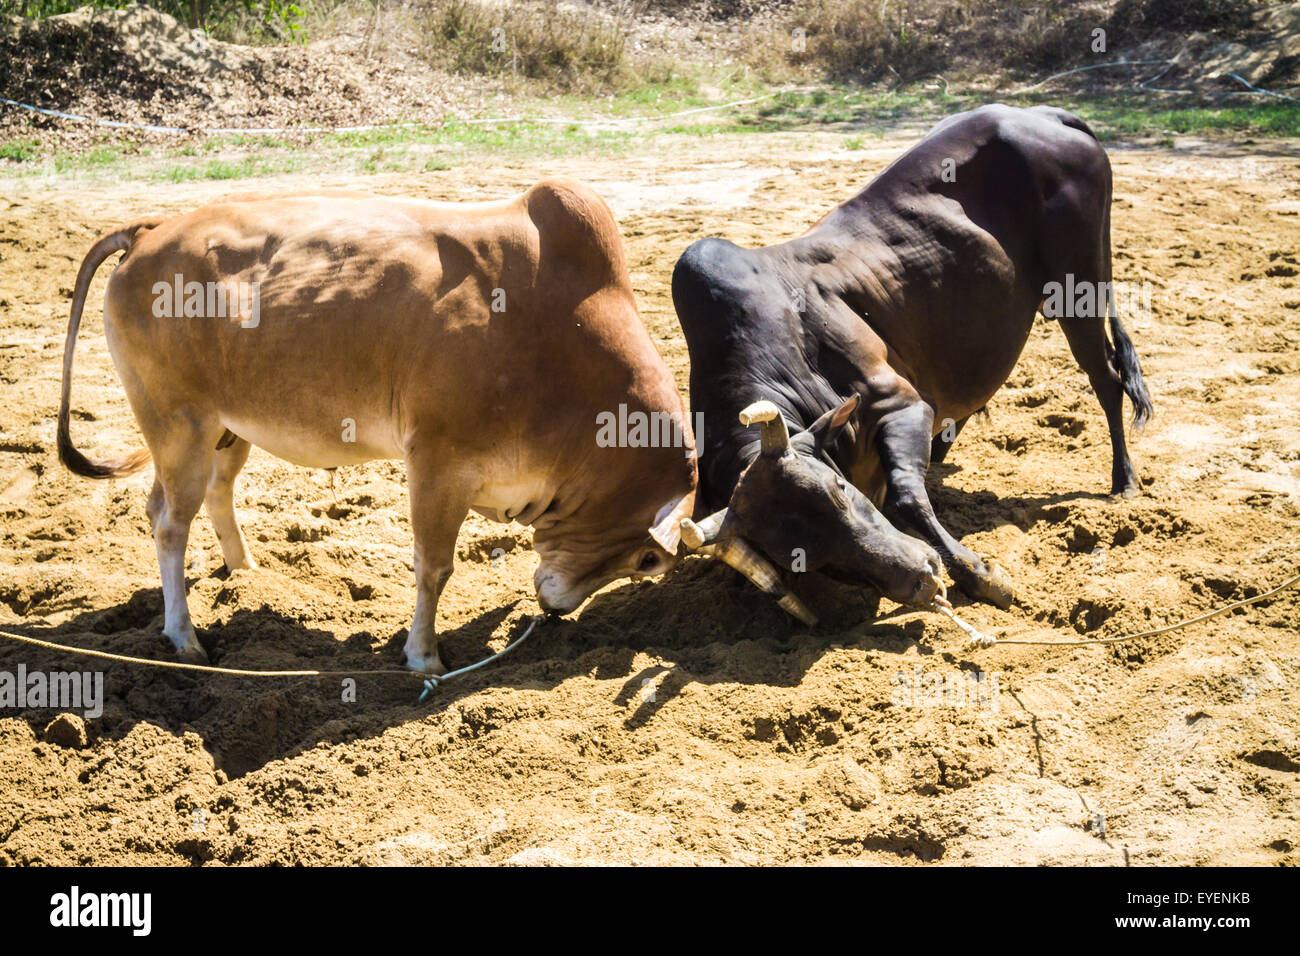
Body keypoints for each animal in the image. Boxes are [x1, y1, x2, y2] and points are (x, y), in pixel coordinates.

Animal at [57, 180, 697, 673]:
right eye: (648, 562)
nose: (558, 610)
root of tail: (151, 231)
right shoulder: (439, 461)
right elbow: (435, 568)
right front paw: (424, 657)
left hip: (222, 429)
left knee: (201, 497)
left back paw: (247, 575)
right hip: (180, 426)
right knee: (171, 524)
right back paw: (184, 638)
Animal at [672, 104, 1152, 618]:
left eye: (839, 490)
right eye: (805, 561)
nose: (920, 577)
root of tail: (1040, 113)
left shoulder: (901, 403)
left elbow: (906, 497)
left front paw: (983, 575)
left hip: (1082, 288)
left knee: (1106, 378)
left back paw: (1124, 481)